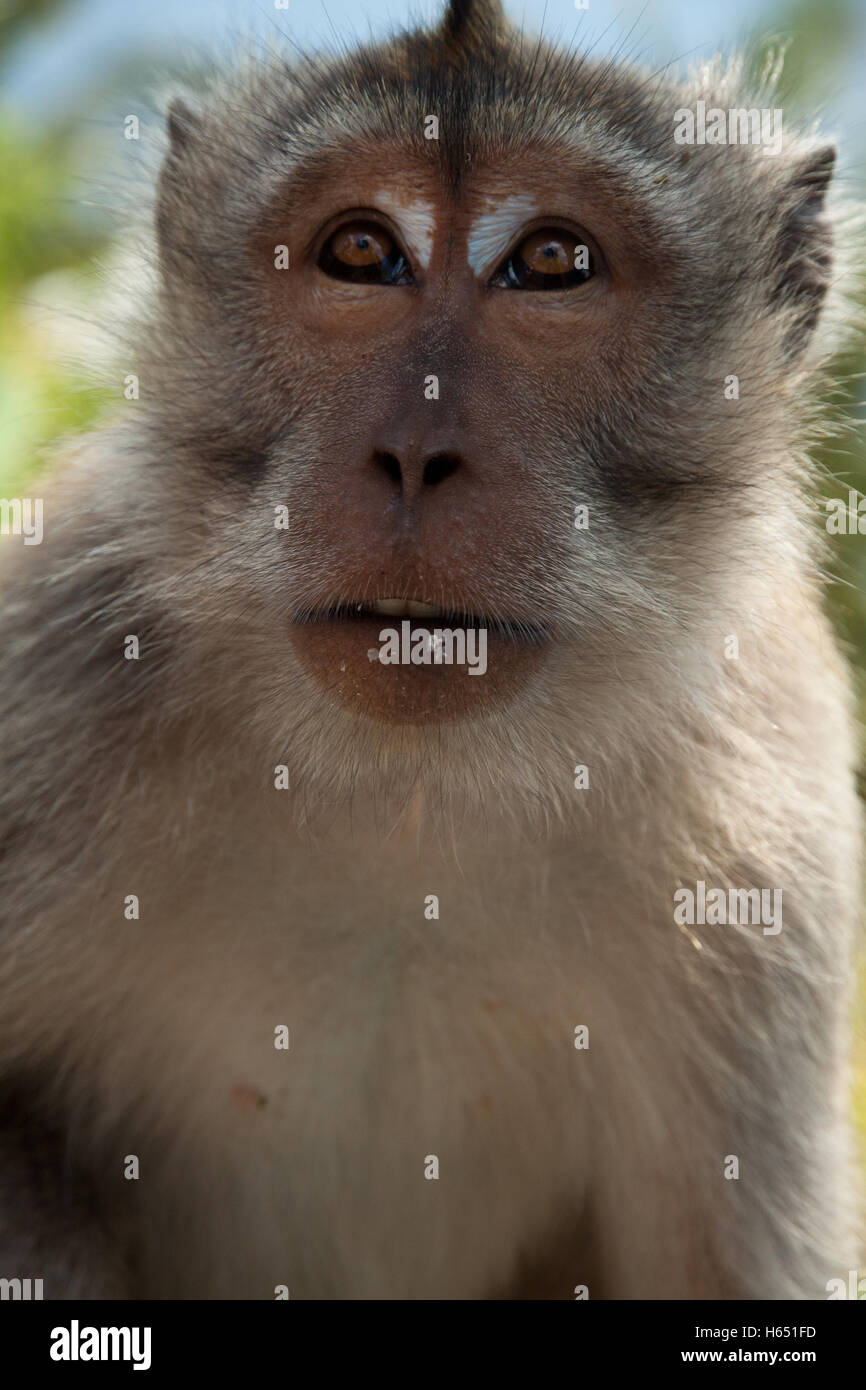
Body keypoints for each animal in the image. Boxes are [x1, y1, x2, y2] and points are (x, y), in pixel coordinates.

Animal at [0, 0, 860, 1300]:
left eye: (550, 263)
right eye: (361, 252)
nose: (414, 452)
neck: (411, 794)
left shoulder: (767, 837)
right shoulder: (58, 668)